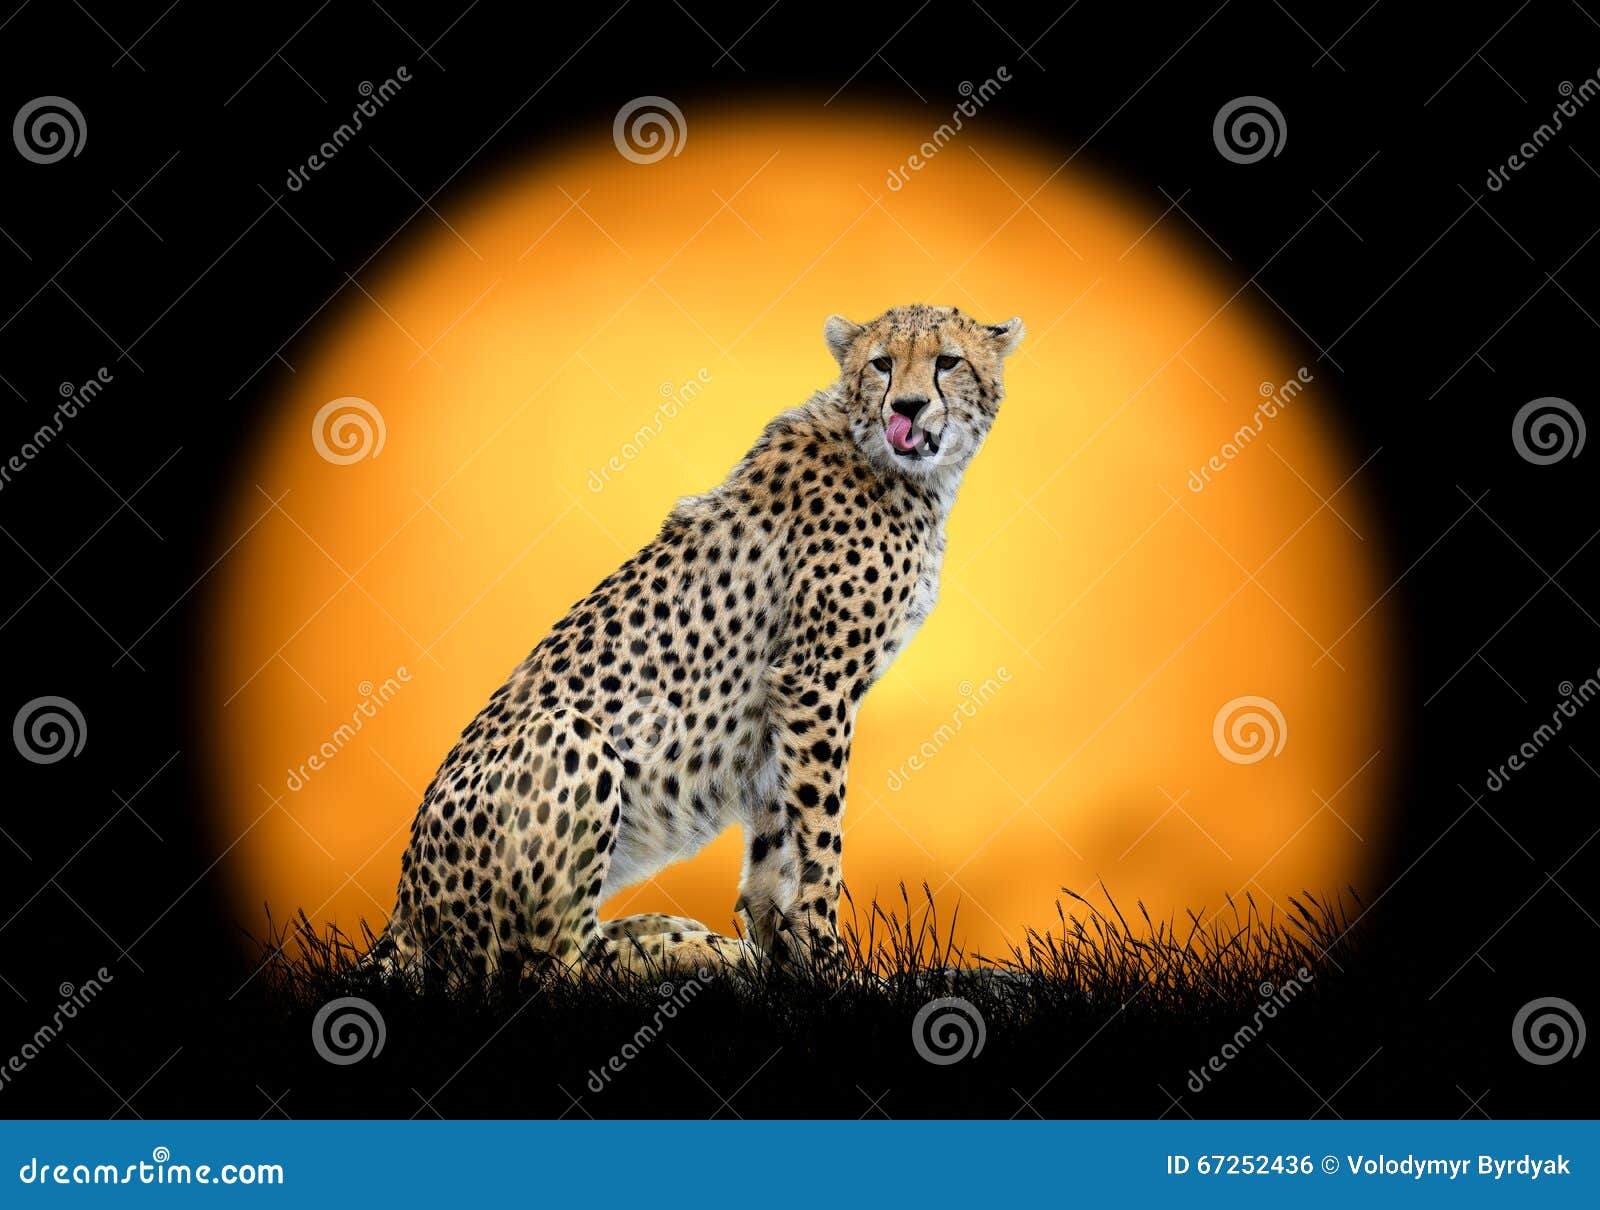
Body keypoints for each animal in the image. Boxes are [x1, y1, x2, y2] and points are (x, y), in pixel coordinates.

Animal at [378, 303, 1024, 980]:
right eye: (882, 364)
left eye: (948, 361)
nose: (907, 406)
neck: (893, 464)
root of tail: (403, 909)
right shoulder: (815, 683)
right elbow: (820, 837)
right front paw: (831, 966)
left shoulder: (782, 709)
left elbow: (776, 840)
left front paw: (785, 955)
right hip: (572, 735)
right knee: (553, 963)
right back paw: (690, 951)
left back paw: (675, 934)